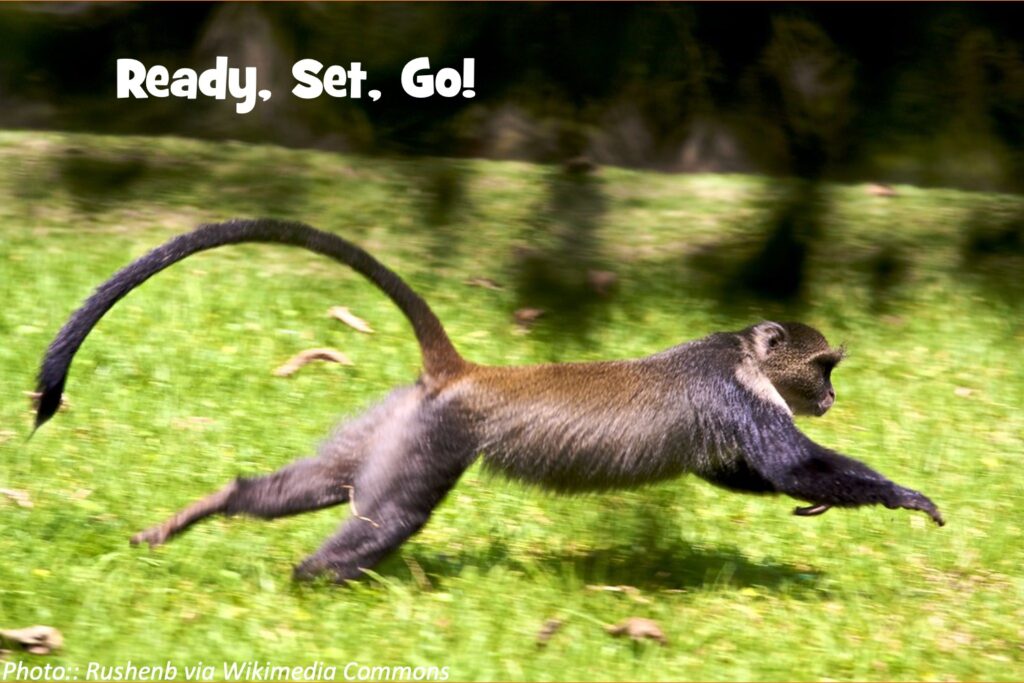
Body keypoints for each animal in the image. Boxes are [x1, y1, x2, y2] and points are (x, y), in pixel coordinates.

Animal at [34, 219, 944, 583]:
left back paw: (215, 505)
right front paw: (902, 496)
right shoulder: (742, 392)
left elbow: (735, 474)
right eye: (823, 367)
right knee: (386, 517)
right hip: (437, 436)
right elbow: (790, 467)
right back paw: (311, 577)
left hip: (402, 422)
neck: (734, 349)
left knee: (324, 485)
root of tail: (462, 373)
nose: (831, 396)